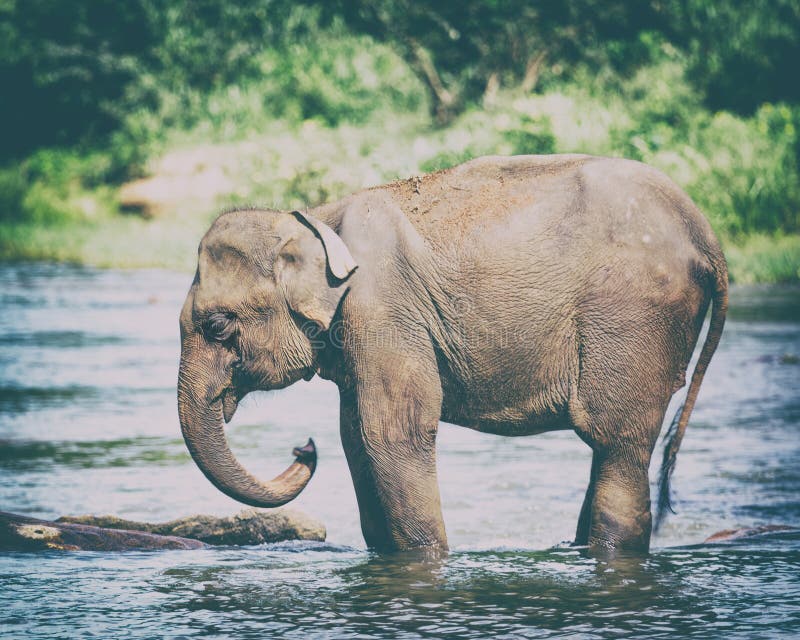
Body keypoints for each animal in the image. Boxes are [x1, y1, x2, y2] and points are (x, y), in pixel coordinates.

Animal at [177, 154, 727, 554]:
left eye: (217, 325)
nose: (302, 448)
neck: (316, 220)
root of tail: (705, 234)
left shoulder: (384, 309)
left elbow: (393, 431)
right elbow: (355, 436)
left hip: (635, 317)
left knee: (615, 443)